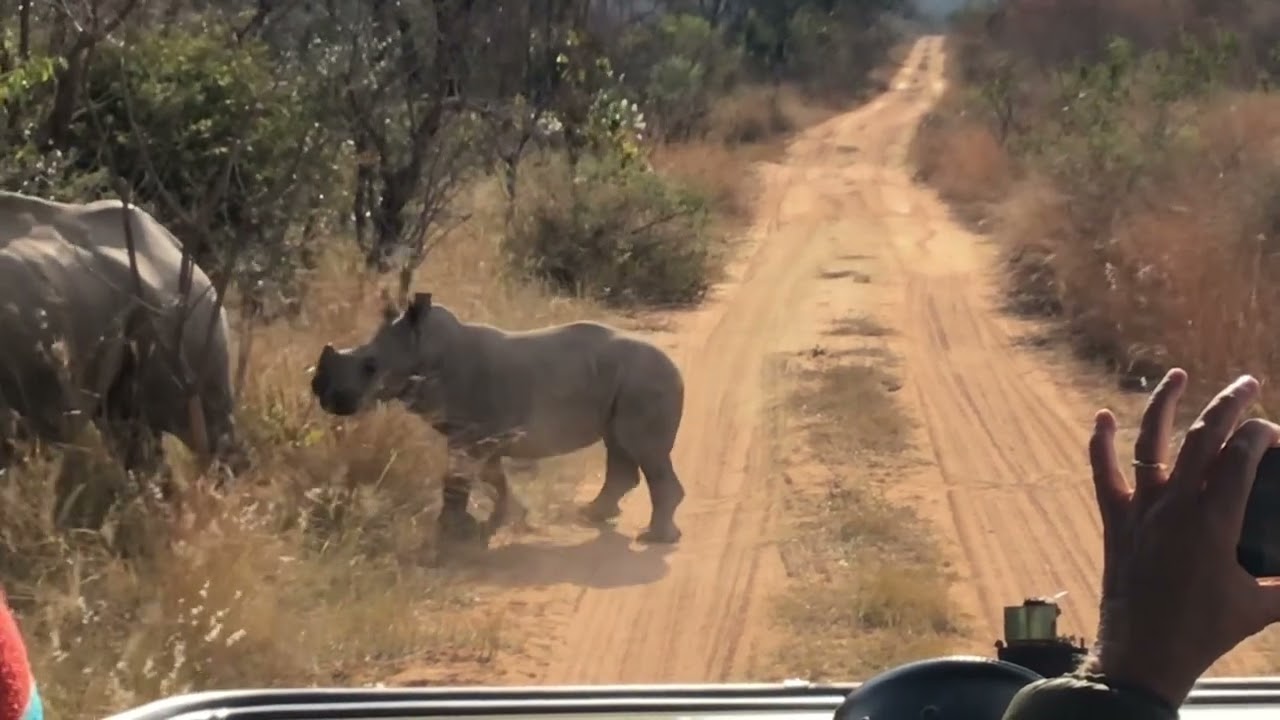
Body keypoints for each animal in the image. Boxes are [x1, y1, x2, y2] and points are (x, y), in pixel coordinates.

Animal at [310, 291, 687, 545]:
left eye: (370, 367)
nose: (320, 391)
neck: (425, 349)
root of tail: (676, 368)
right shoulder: (480, 435)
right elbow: (491, 478)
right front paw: (504, 518)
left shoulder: (470, 432)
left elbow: (456, 480)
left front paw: (450, 530)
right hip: (630, 382)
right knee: (618, 444)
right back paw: (591, 515)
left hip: (646, 381)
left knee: (643, 449)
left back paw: (654, 537)